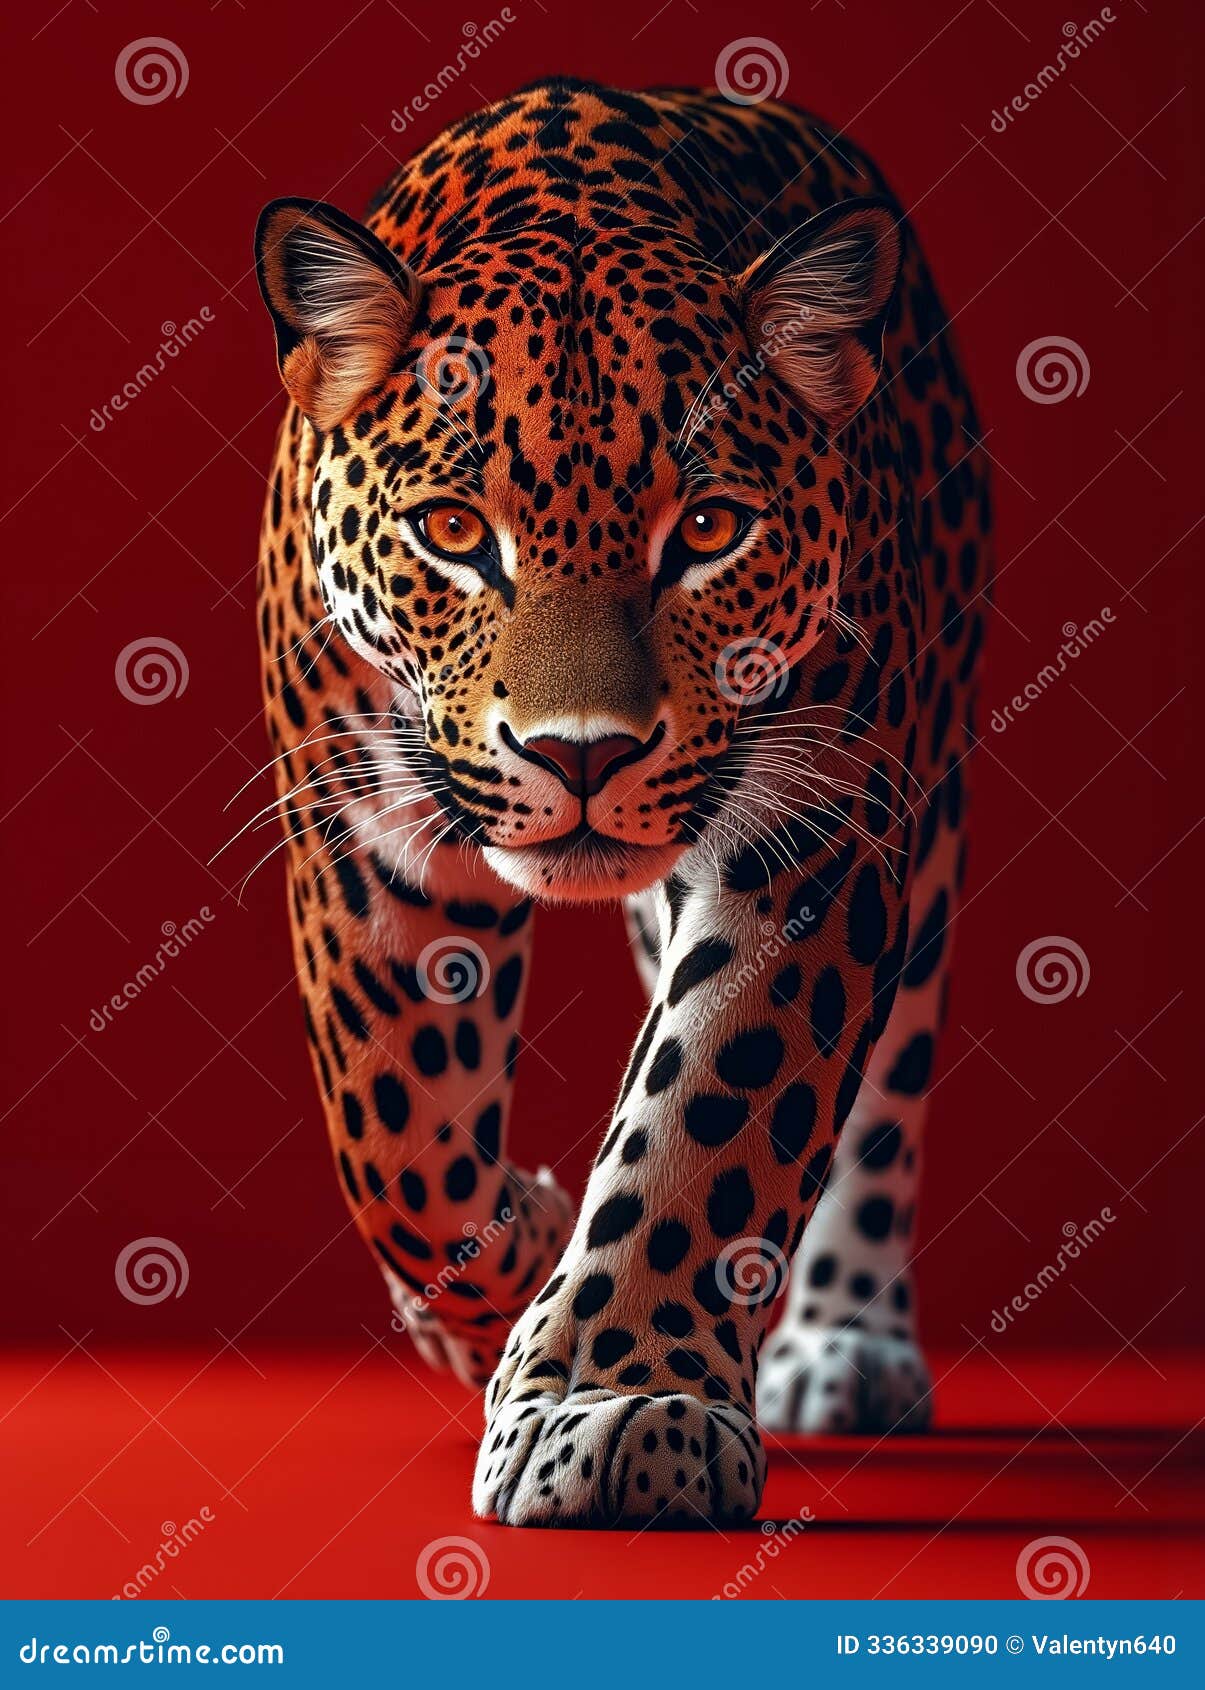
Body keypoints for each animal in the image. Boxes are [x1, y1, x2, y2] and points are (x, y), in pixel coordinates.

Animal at [251, 75, 991, 1527]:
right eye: (452, 533)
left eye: (707, 530)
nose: (579, 754)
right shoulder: (361, 828)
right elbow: (398, 1134)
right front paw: (516, 1267)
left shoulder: (811, 828)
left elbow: (711, 1109)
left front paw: (615, 1398)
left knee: (884, 1088)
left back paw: (841, 1338)